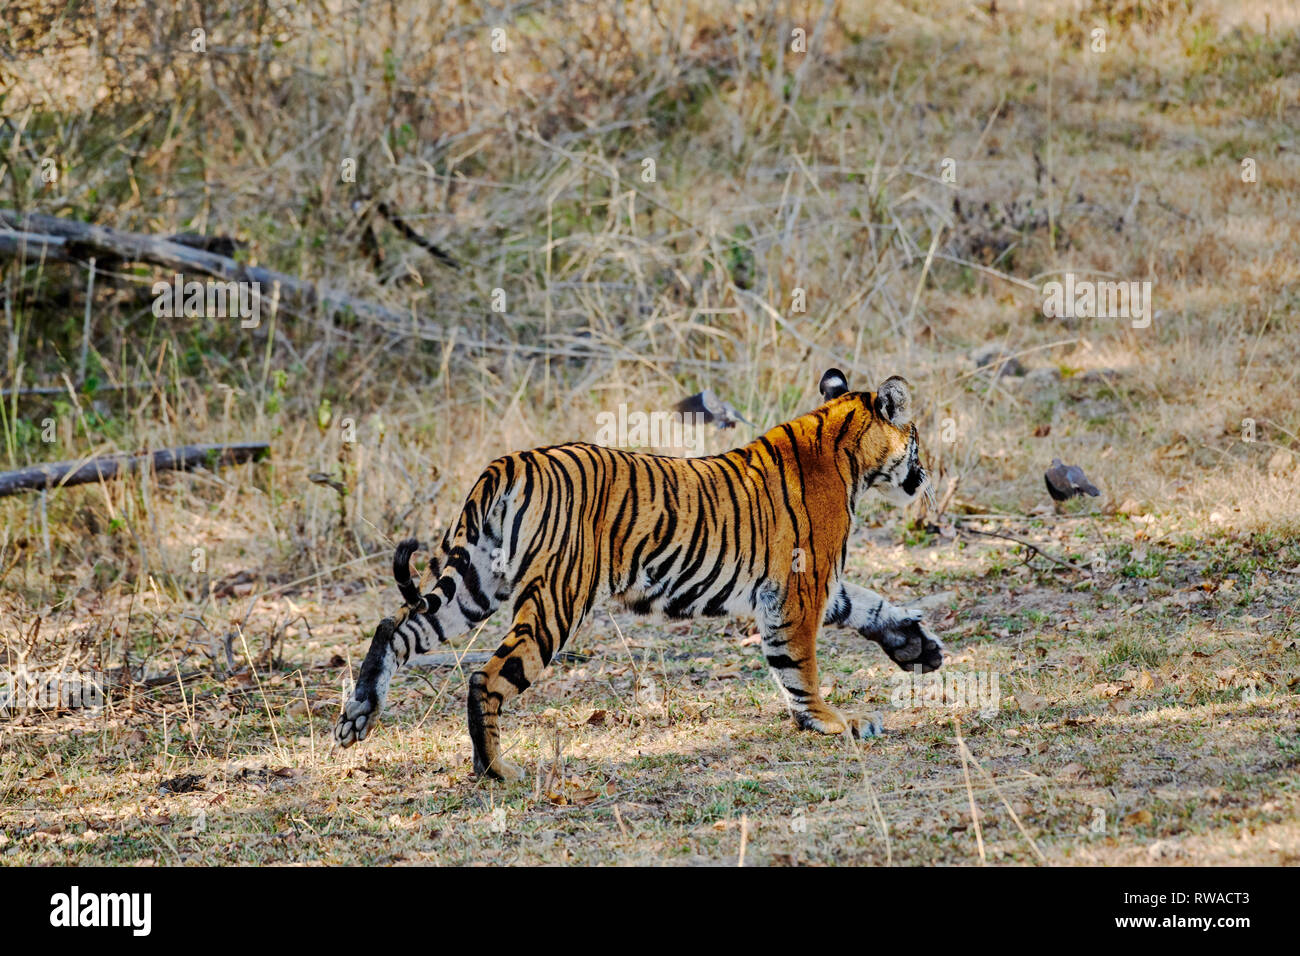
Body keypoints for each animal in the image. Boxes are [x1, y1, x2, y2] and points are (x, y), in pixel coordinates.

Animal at [333, 367, 945, 780]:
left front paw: (917, 647)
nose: (926, 472)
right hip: (556, 601)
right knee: (485, 675)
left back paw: (358, 716)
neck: (847, 453)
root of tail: (508, 462)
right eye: (917, 436)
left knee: (398, 627)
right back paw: (494, 771)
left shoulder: (811, 586)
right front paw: (830, 721)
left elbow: (869, 604)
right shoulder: (798, 589)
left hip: (476, 583)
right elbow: (800, 666)